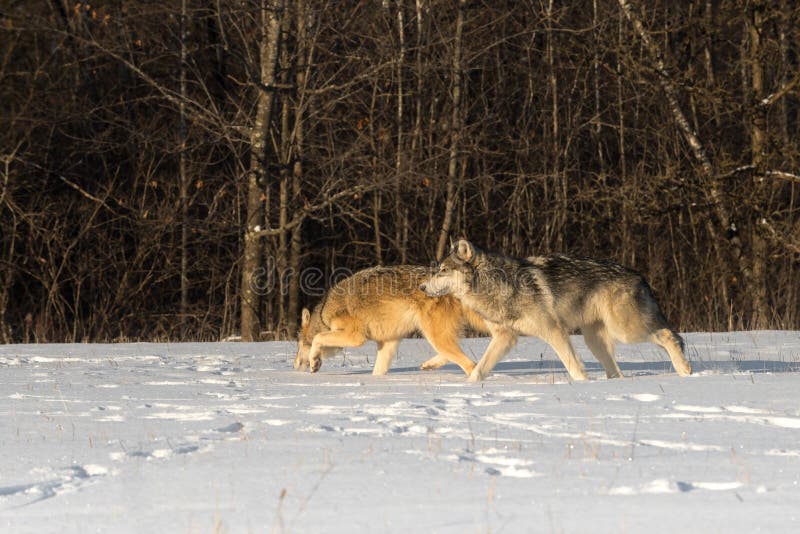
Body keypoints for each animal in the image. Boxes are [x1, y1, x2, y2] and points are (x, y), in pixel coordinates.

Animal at [294, 265, 487, 376]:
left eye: (298, 345)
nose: (294, 365)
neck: (325, 313)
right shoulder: (388, 342)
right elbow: (377, 372)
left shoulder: (355, 337)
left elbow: (317, 338)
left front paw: (314, 362)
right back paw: (429, 365)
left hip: (434, 337)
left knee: (470, 364)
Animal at [420, 239, 692, 382]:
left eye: (442, 271)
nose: (421, 287)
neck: (496, 283)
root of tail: (639, 275)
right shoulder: (505, 338)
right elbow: (479, 369)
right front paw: (468, 387)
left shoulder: (554, 331)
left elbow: (573, 365)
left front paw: (582, 385)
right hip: (596, 341)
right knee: (617, 370)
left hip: (625, 331)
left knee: (670, 336)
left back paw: (684, 371)